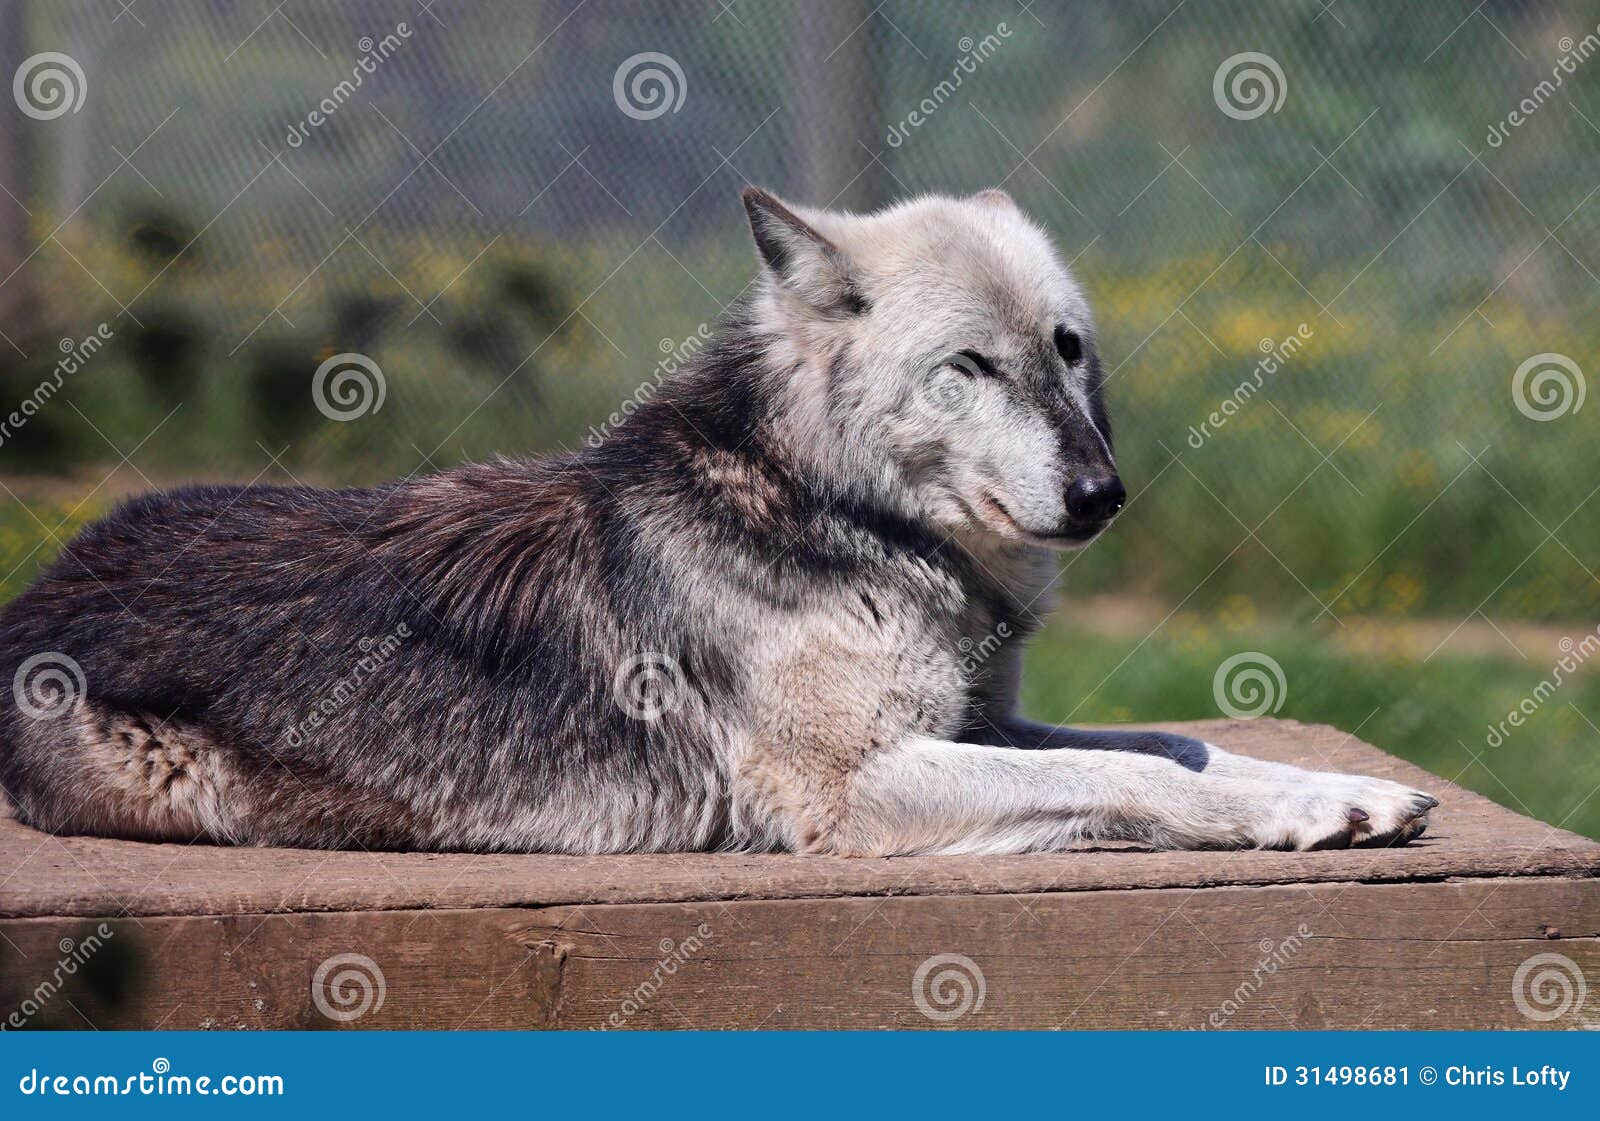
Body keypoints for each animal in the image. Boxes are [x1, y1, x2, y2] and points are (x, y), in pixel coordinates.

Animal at [0, 188, 1436, 855]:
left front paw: (1348, 790)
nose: (1101, 495)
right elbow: (1140, 776)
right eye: (969, 367)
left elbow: (1181, 747)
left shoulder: (981, 723)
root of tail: (45, 577)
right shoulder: (859, 786)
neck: (842, 518)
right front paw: (1304, 812)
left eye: (1067, 349)